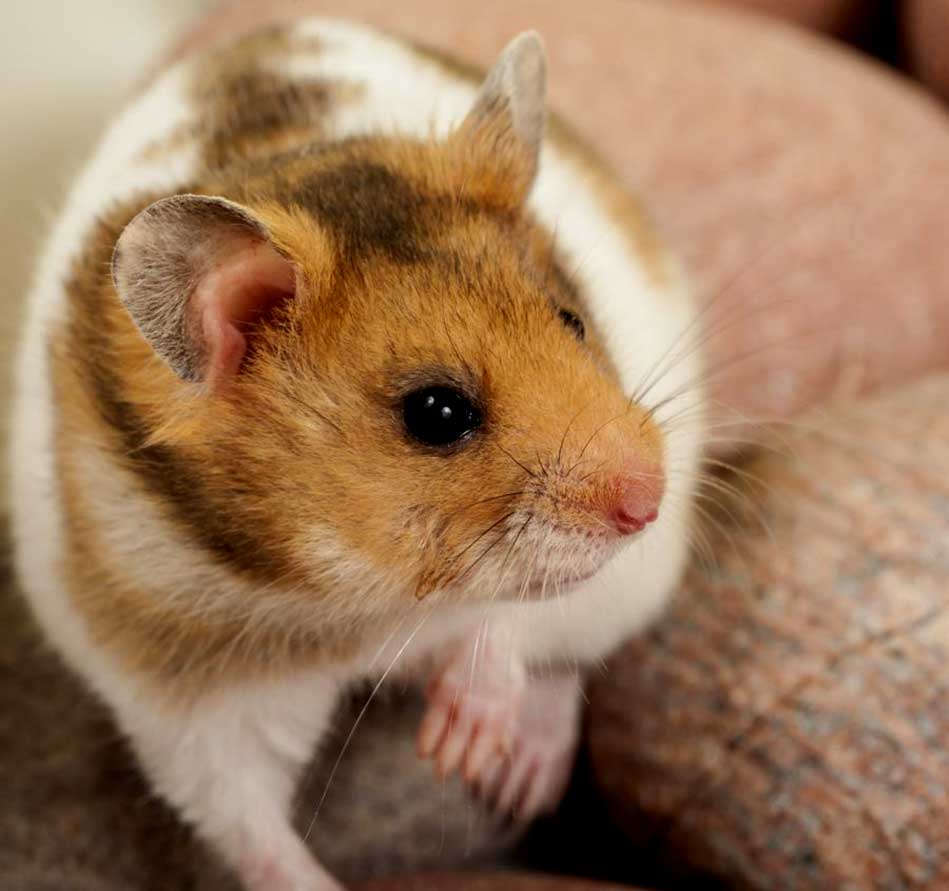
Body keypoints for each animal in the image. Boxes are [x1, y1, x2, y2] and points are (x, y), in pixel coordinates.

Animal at [9, 18, 703, 891]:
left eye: (573, 321)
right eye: (436, 413)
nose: (649, 499)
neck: (358, 602)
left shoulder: (522, 587)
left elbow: (503, 618)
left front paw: (458, 750)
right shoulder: (188, 709)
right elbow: (249, 827)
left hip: (632, 584)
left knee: (567, 661)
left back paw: (516, 779)